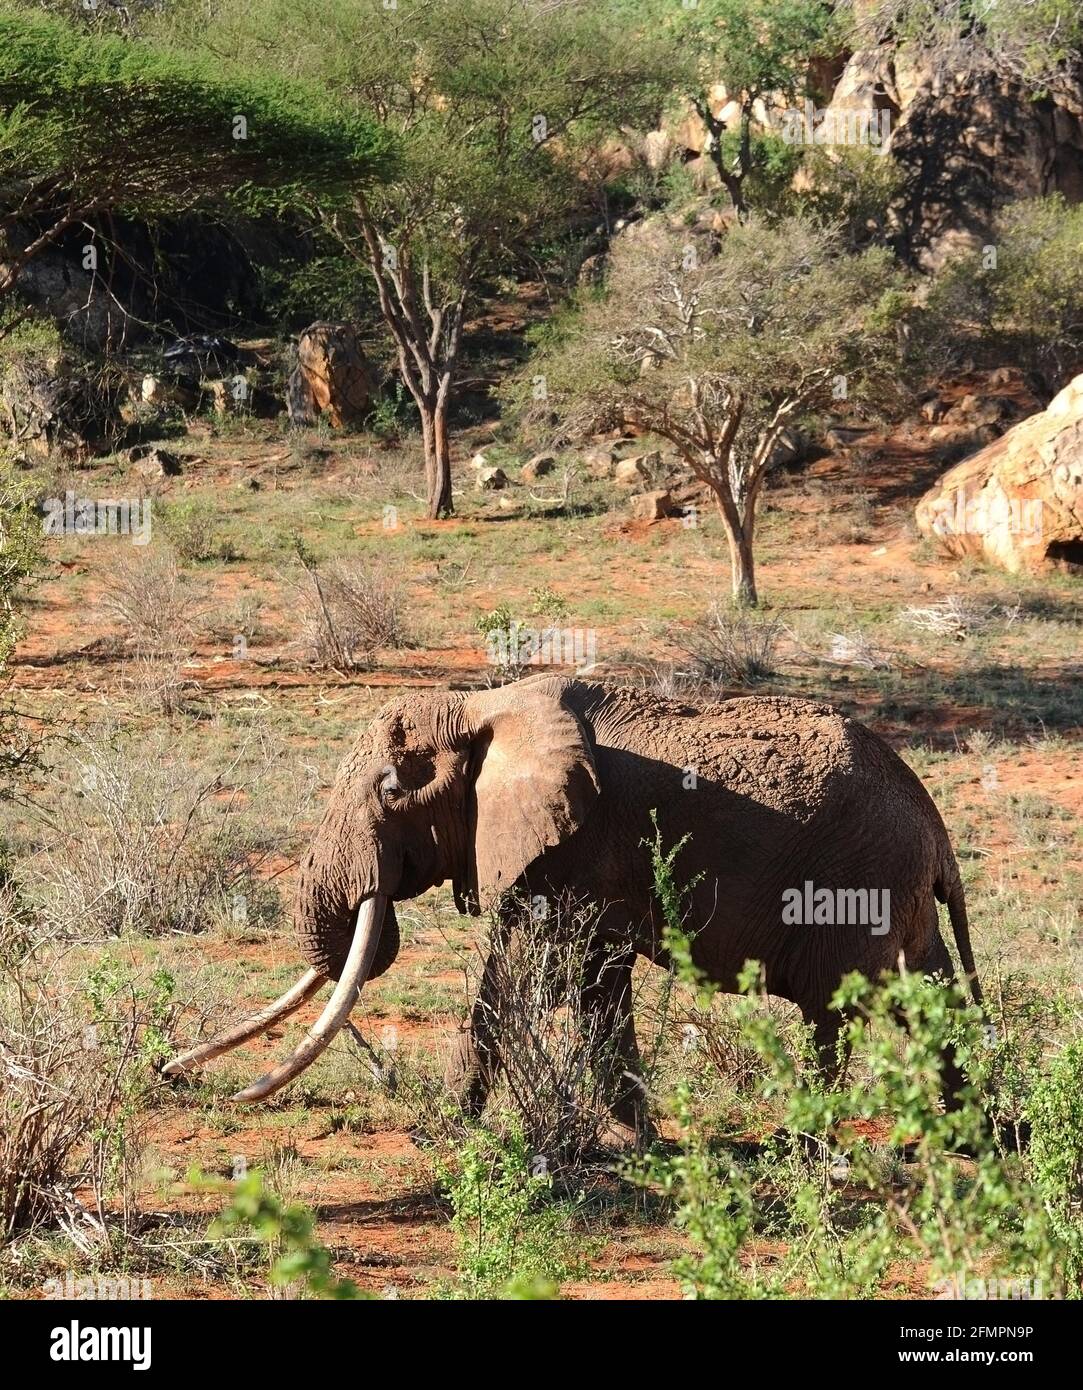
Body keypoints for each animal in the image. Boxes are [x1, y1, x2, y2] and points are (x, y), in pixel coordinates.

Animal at [165, 676, 982, 1136]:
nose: (170, 1074)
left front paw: (456, 1132)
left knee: (834, 1011)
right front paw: (627, 1139)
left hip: (854, 885)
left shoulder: (579, 847)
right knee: (930, 994)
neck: (484, 707)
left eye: (393, 788)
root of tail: (935, 823)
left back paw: (808, 1147)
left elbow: (544, 971)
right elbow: (558, 978)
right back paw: (973, 1139)